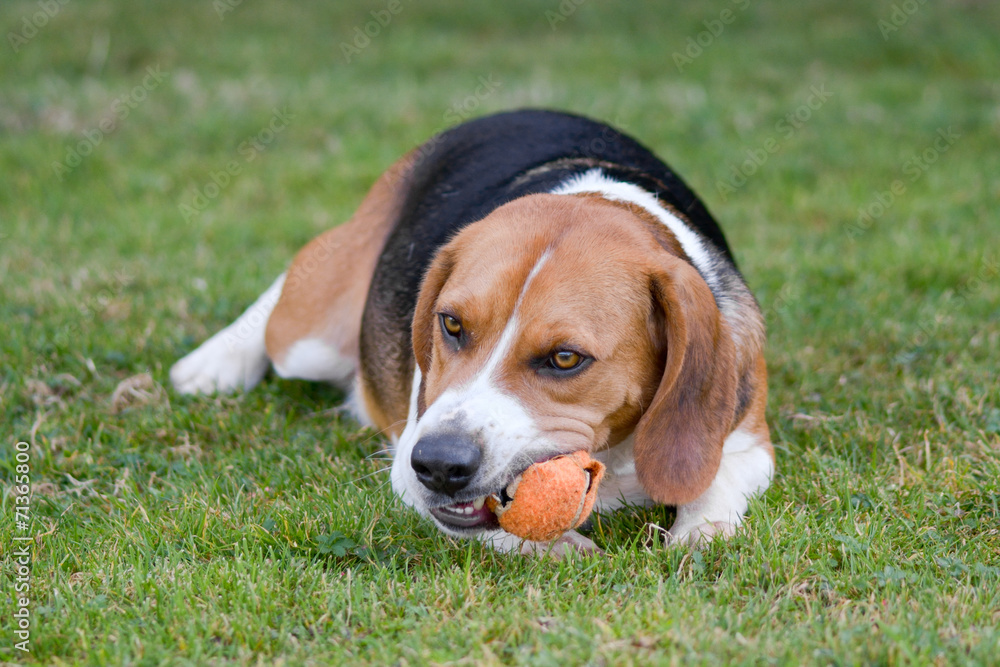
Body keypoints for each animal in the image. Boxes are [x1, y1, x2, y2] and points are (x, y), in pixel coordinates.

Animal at [174, 109, 772, 556]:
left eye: (565, 358)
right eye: (452, 324)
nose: (438, 464)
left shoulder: (751, 444)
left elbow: (714, 486)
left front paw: (698, 536)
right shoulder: (408, 468)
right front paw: (556, 547)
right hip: (310, 338)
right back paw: (215, 361)